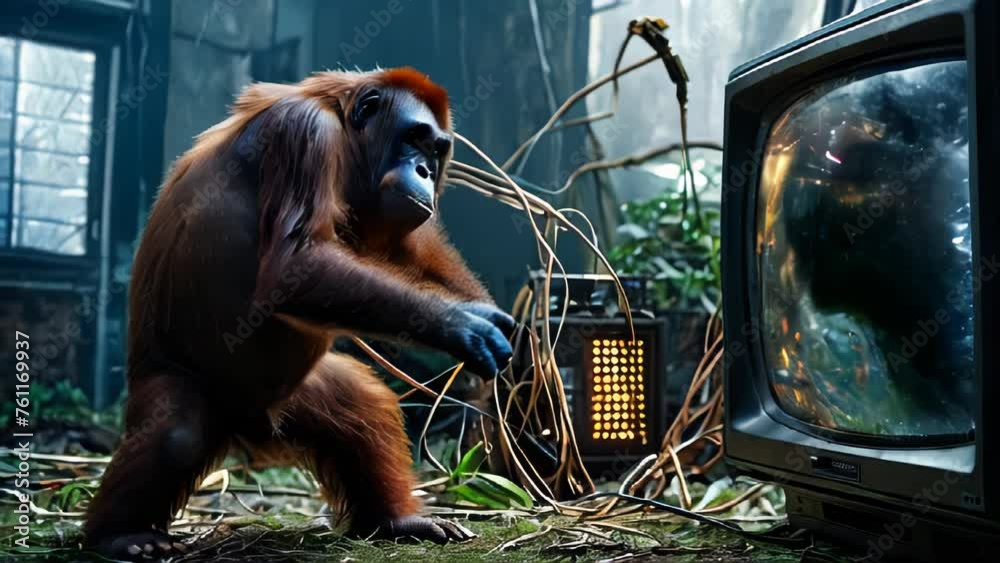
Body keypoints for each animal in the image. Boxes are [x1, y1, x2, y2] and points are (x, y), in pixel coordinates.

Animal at [82, 67, 515, 559]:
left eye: (436, 149)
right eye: (414, 138)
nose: (425, 169)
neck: (344, 130)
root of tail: (242, 431)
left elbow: (405, 245)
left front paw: (485, 314)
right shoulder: (306, 133)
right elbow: (295, 265)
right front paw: (461, 325)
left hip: (292, 398)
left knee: (361, 407)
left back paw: (395, 519)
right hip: (172, 382)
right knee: (177, 434)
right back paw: (119, 534)